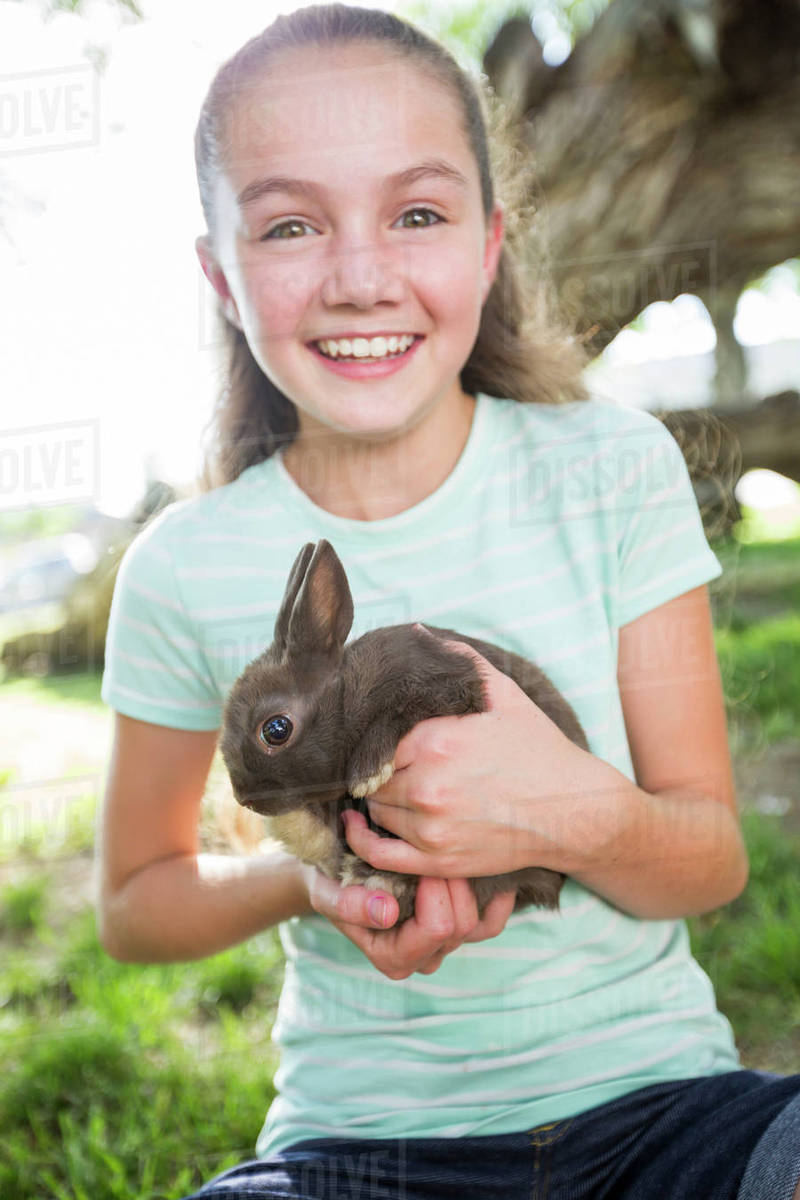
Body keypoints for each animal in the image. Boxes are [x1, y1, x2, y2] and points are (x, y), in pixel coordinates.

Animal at [219, 539, 589, 923]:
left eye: (276, 729)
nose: (244, 798)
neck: (348, 694)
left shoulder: (452, 686)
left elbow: (398, 711)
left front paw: (368, 772)